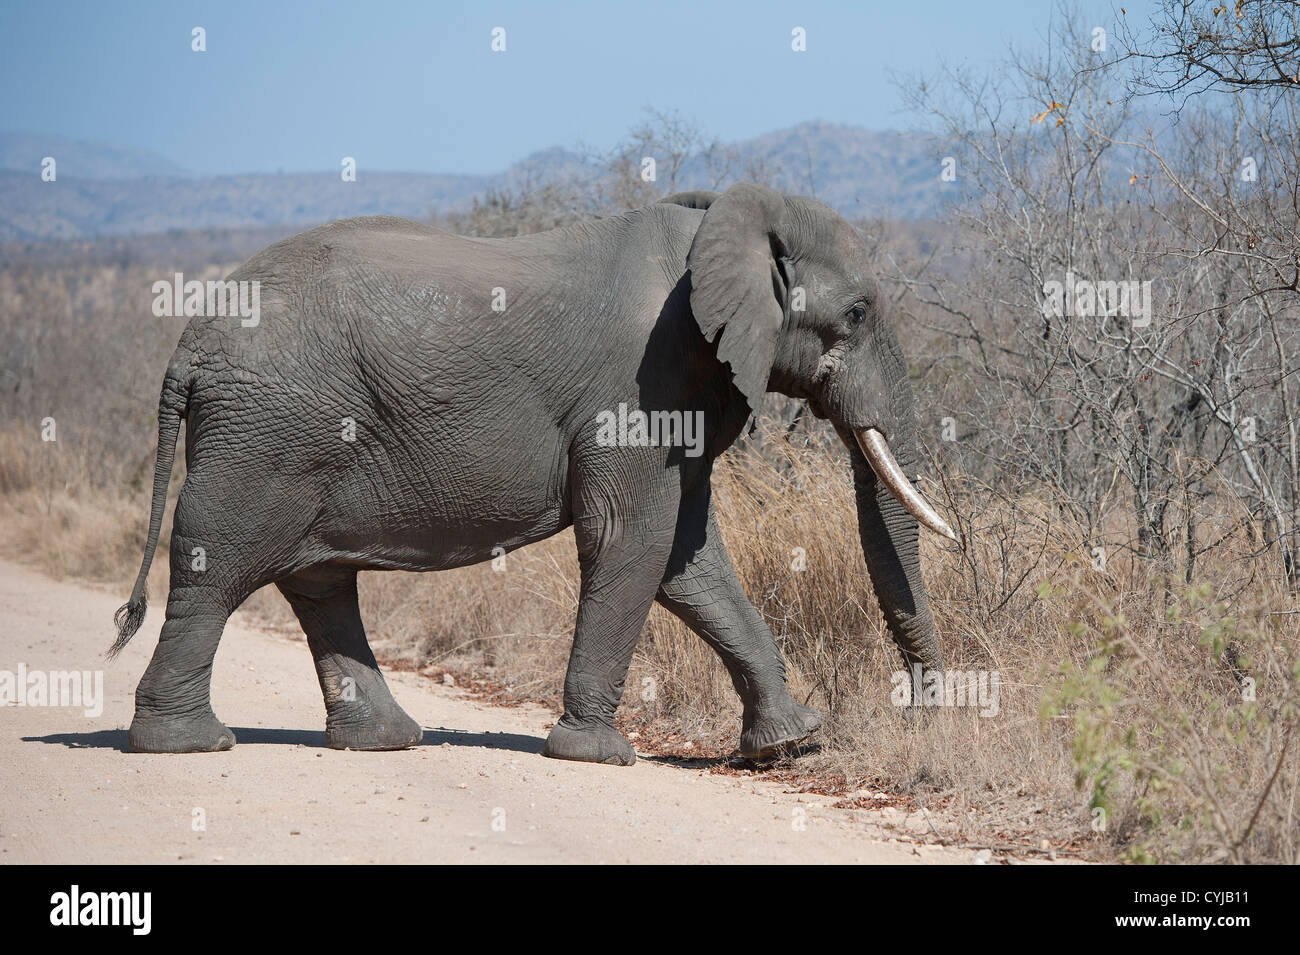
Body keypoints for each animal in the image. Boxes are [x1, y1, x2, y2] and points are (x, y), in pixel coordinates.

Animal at [110, 182, 955, 764]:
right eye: (856, 315)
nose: (922, 716)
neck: (722, 217)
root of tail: (188, 343)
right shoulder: (640, 388)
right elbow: (632, 541)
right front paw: (598, 755)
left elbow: (689, 561)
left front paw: (792, 744)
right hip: (267, 434)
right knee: (220, 565)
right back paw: (185, 743)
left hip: (289, 434)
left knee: (317, 581)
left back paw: (386, 741)